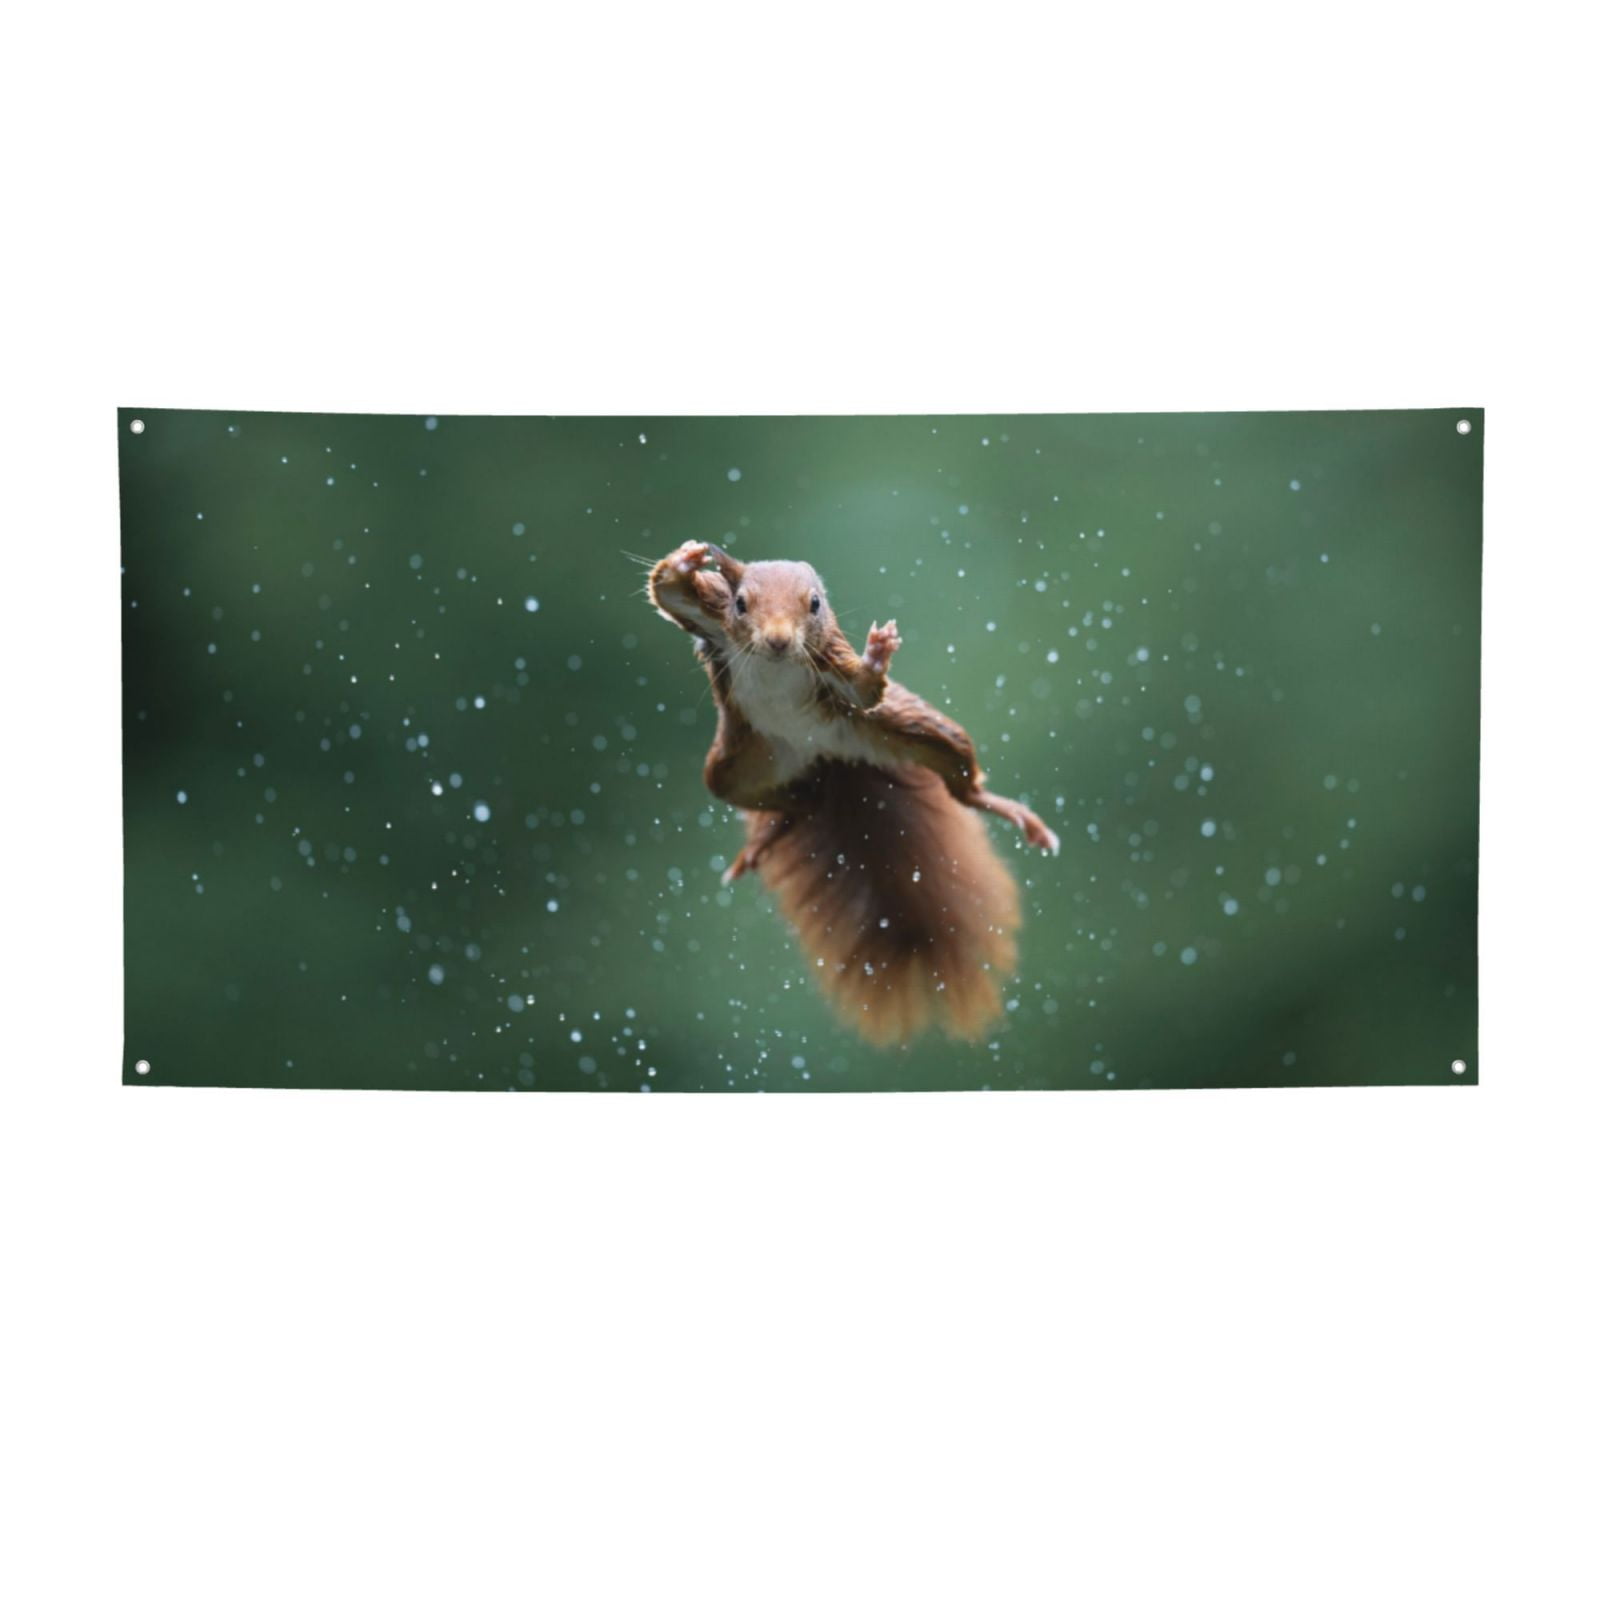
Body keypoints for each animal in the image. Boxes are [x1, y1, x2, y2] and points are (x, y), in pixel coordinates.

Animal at [648, 539, 1059, 1046]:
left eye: (815, 604)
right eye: (741, 603)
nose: (779, 641)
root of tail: (828, 759)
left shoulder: (832, 664)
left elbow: (864, 688)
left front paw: (878, 653)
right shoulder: (713, 619)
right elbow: (667, 591)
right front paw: (686, 559)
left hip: (909, 729)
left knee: (961, 784)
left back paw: (1018, 816)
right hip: (736, 767)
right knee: (792, 802)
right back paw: (765, 839)